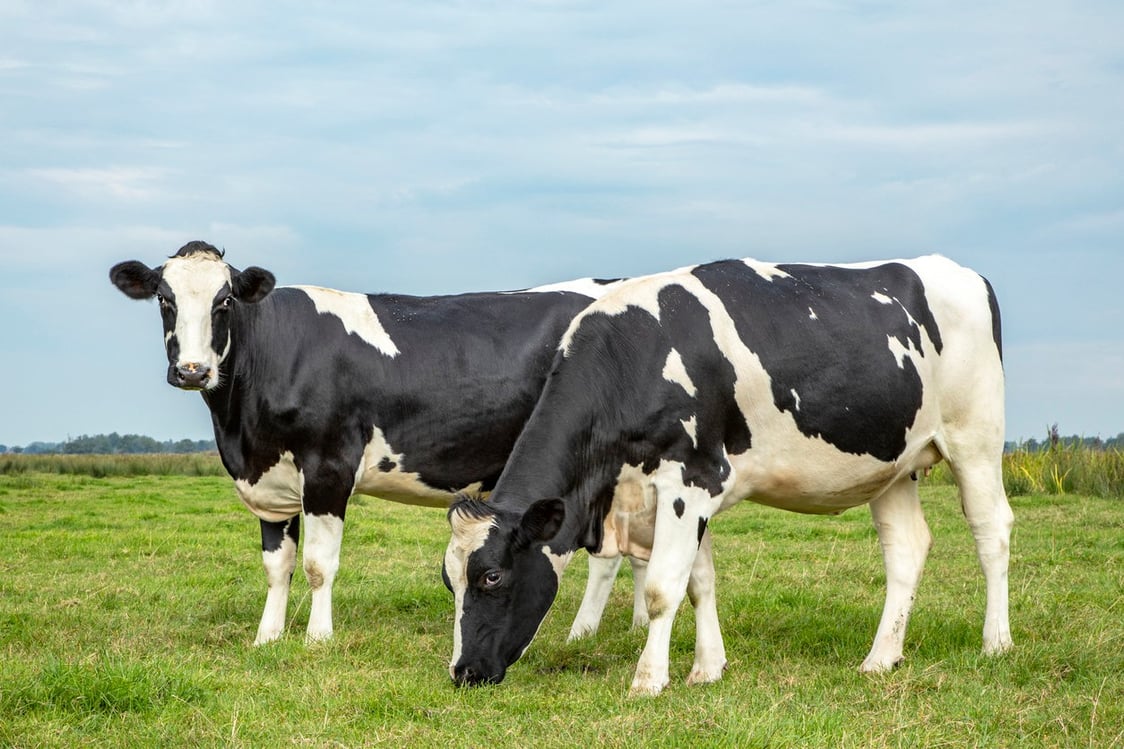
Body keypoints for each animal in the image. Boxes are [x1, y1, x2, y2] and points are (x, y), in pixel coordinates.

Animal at [109, 240, 645, 645]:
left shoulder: (327, 468)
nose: (192, 370)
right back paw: (636, 624)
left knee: (610, 556)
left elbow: (318, 564)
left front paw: (317, 638)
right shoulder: (269, 481)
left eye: (224, 302)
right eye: (164, 300)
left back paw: (584, 632)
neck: (242, 428)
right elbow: (277, 566)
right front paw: (268, 637)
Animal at [444, 255, 1013, 696]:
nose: (464, 672)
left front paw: (649, 679)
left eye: (492, 576)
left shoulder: (689, 482)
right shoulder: (683, 495)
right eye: (449, 581)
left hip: (975, 439)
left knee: (992, 532)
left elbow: (662, 587)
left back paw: (996, 643)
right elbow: (700, 582)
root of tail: (958, 271)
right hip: (894, 466)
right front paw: (707, 668)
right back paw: (881, 658)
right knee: (906, 549)